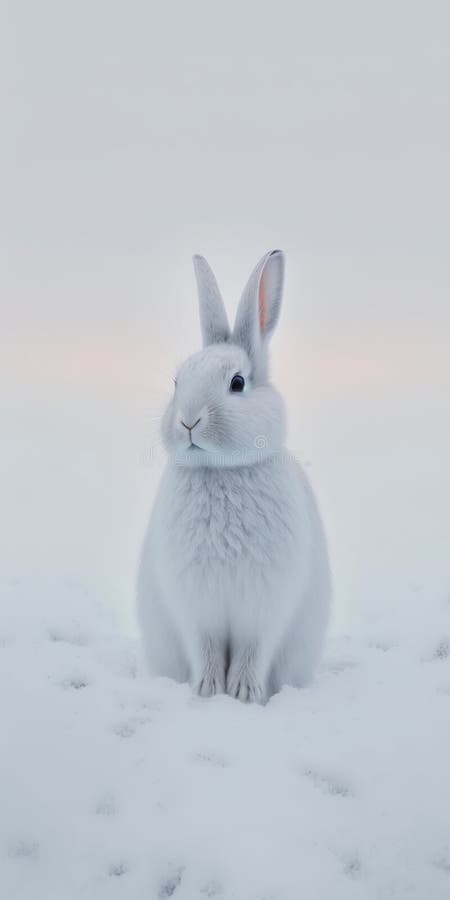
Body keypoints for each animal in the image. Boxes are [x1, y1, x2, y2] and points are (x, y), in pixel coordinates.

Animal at [137, 250, 331, 703]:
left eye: (238, 383)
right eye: (177, 382)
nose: (189, 421)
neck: (222, 471)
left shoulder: (265, 607)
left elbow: (252, 650)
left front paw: (243, 693)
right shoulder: (195, 607)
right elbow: (204, 648)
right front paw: (208, 691)